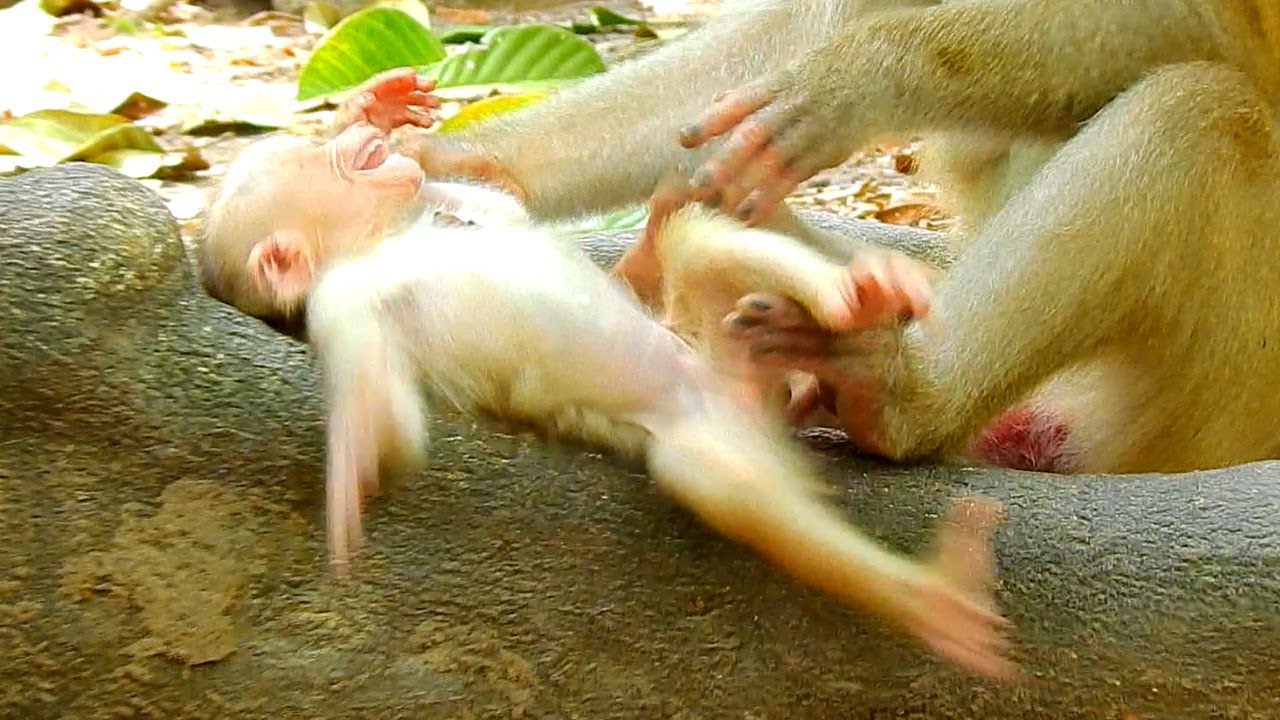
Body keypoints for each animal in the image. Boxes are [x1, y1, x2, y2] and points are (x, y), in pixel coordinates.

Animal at [195, 120, 1018, 681]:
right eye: (322, 162)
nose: (360, 141)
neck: (382, 240)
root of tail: (744, 397)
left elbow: (506, 207)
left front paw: (405, 130)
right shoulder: (342, 297)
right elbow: (394, 427)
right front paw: (349, 471)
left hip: (714, 338)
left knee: (698, 245)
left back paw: (856, 299)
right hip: (709, 427)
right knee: (726, 486)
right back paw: (931, 595)